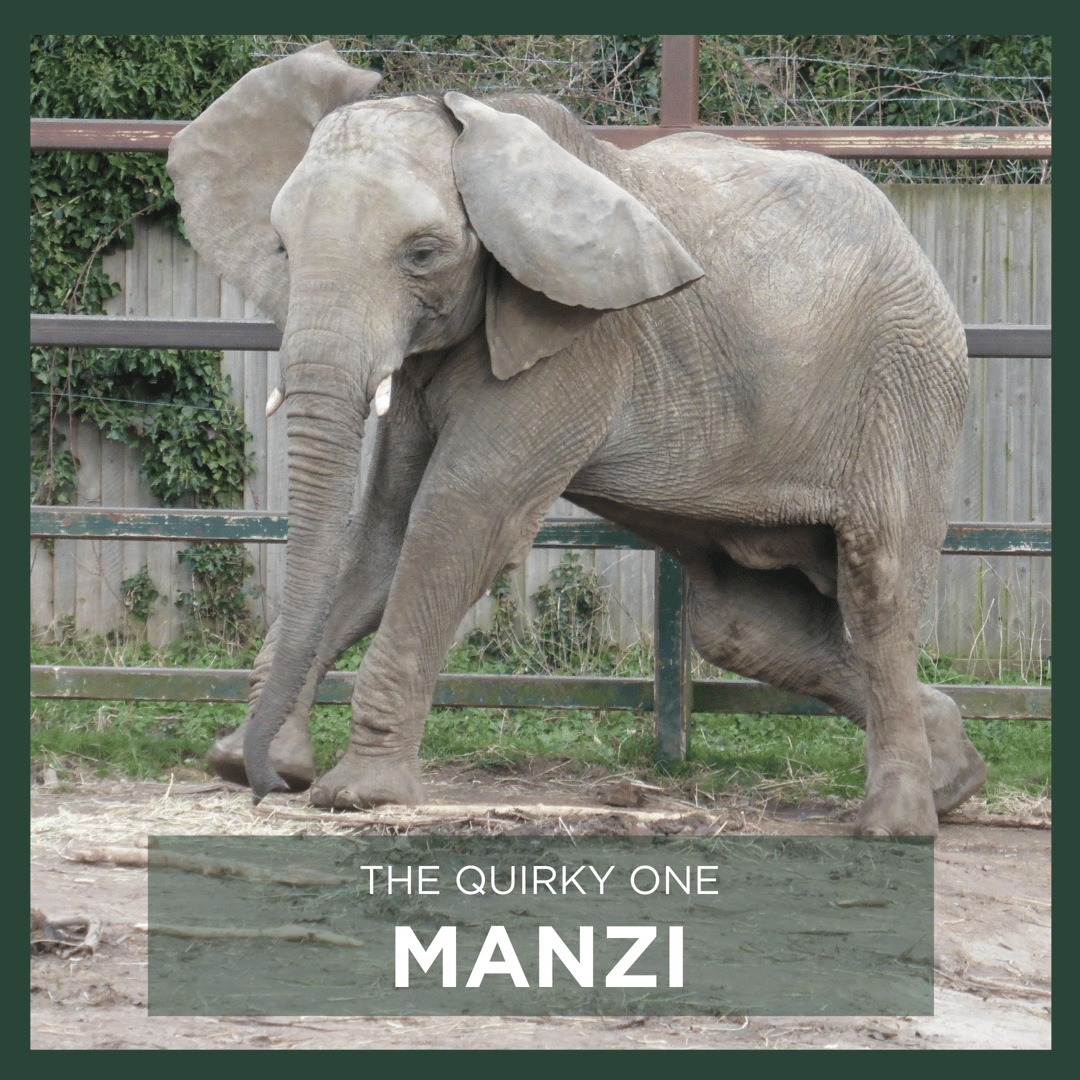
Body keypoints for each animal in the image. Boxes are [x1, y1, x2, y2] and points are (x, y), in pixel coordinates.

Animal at [167, 41, 987, 835]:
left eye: (424, 253)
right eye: (280, 247)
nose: (265, 785)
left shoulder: (576, 340)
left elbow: (457, 522)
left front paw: (356, 795)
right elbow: (380, 534)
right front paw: (247, 759)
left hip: (906, 387)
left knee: (877, 588)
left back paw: (896, 824)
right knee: (747, 627)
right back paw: (955, 776)